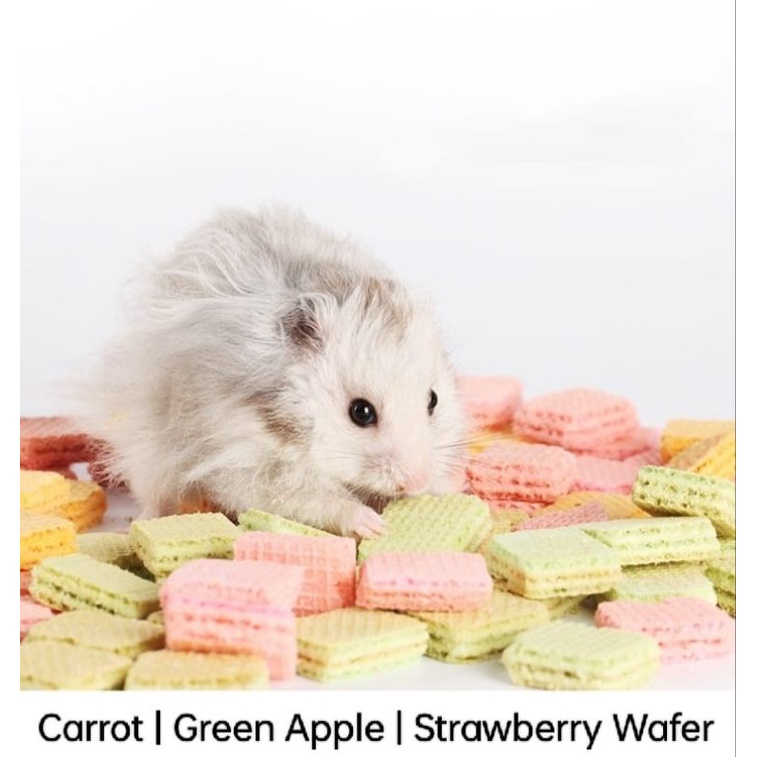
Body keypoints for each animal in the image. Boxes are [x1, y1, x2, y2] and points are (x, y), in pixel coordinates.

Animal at [82, 205, 469, 538]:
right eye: (361, 412)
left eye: (432, 400)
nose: (416, 481)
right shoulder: (248, 467)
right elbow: (314, 499)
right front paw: (372, 524)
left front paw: (443, 491)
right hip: (147, 450)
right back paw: (136, 524)